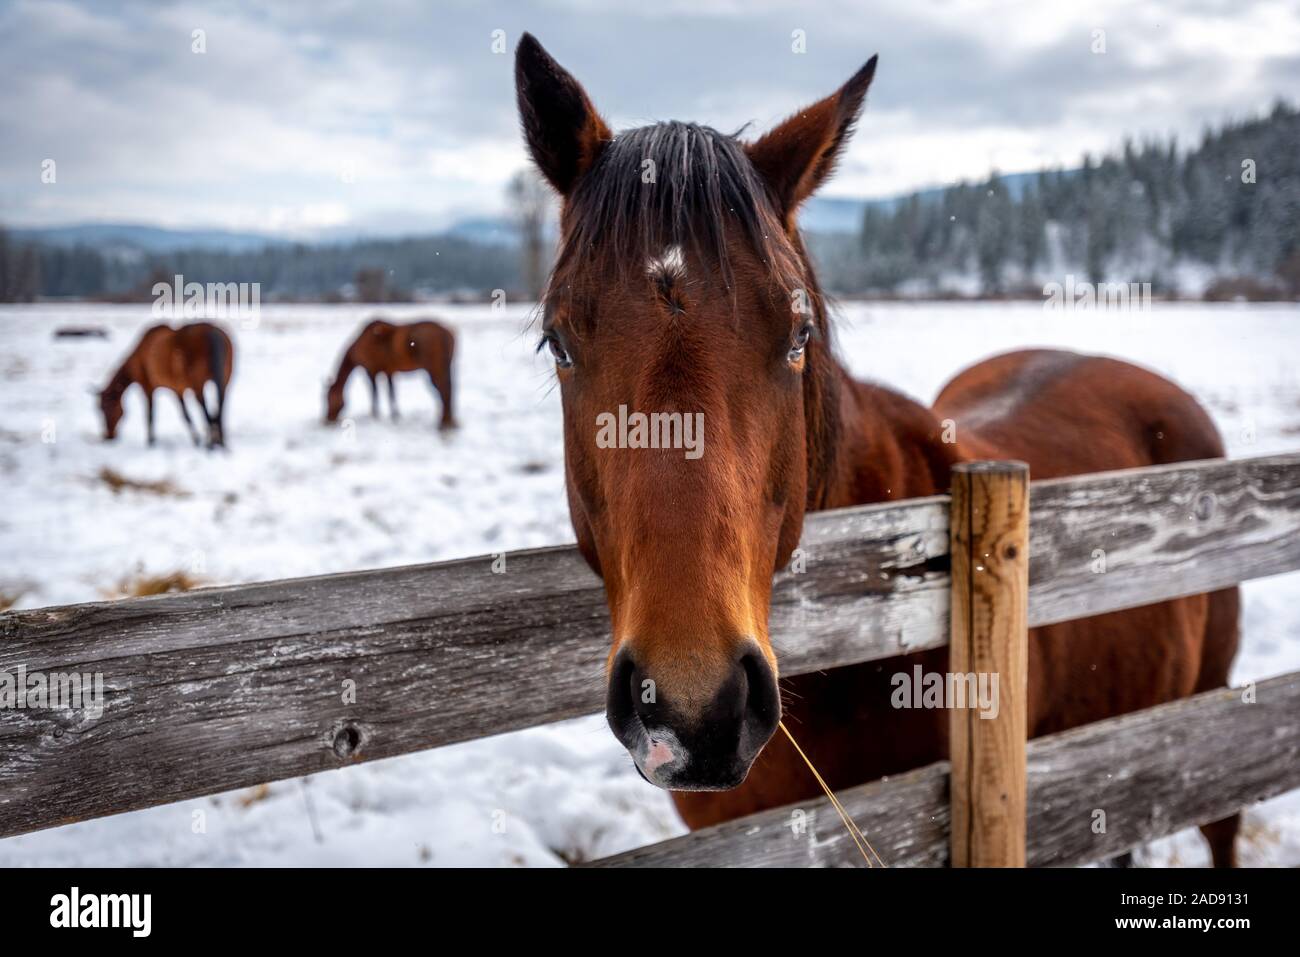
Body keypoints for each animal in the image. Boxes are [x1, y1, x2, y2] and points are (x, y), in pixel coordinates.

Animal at [97, 321, 233, 448]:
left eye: (106, 408)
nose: (108, 437)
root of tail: (212, 332)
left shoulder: (148, 387)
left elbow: (150, 415)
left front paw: (151, 442)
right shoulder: (178, 391)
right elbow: (185, 415)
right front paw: (196, 439)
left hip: (198, 385)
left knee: (206, 410)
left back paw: (211, 444)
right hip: (223, 382)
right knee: (220, 407)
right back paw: (220, 442)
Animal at [325, 318, 457, 429]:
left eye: (328, 397)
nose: (328, 419)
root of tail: (447, 334)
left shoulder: (371, 372)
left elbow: (375, 394)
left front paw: (375, 415)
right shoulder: (388, 372)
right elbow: (391, 393)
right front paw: (395, 416)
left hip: (435, 370)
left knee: (444, 390)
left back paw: (444, 423)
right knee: (447, 390)